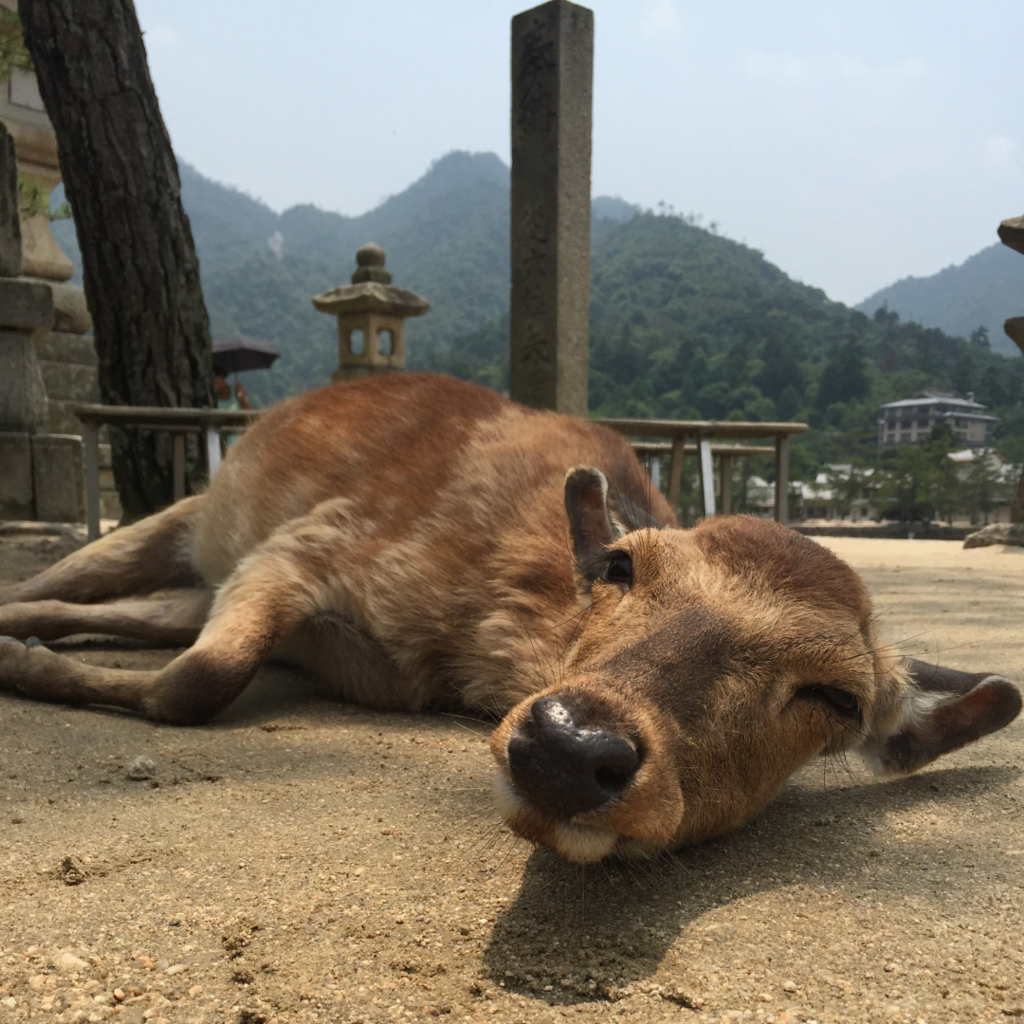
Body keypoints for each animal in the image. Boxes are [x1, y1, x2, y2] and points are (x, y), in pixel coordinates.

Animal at [0, 374, 1019, 863]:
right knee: (71, 575)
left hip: (189, 577)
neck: (464, 646)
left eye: (838, 699)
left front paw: (26, 659)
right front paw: (24, 666)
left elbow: (196, 671)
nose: (570, 743)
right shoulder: (314, 538)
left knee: (134, 611)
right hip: (190, 512)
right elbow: (203, 682)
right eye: (622, 567)